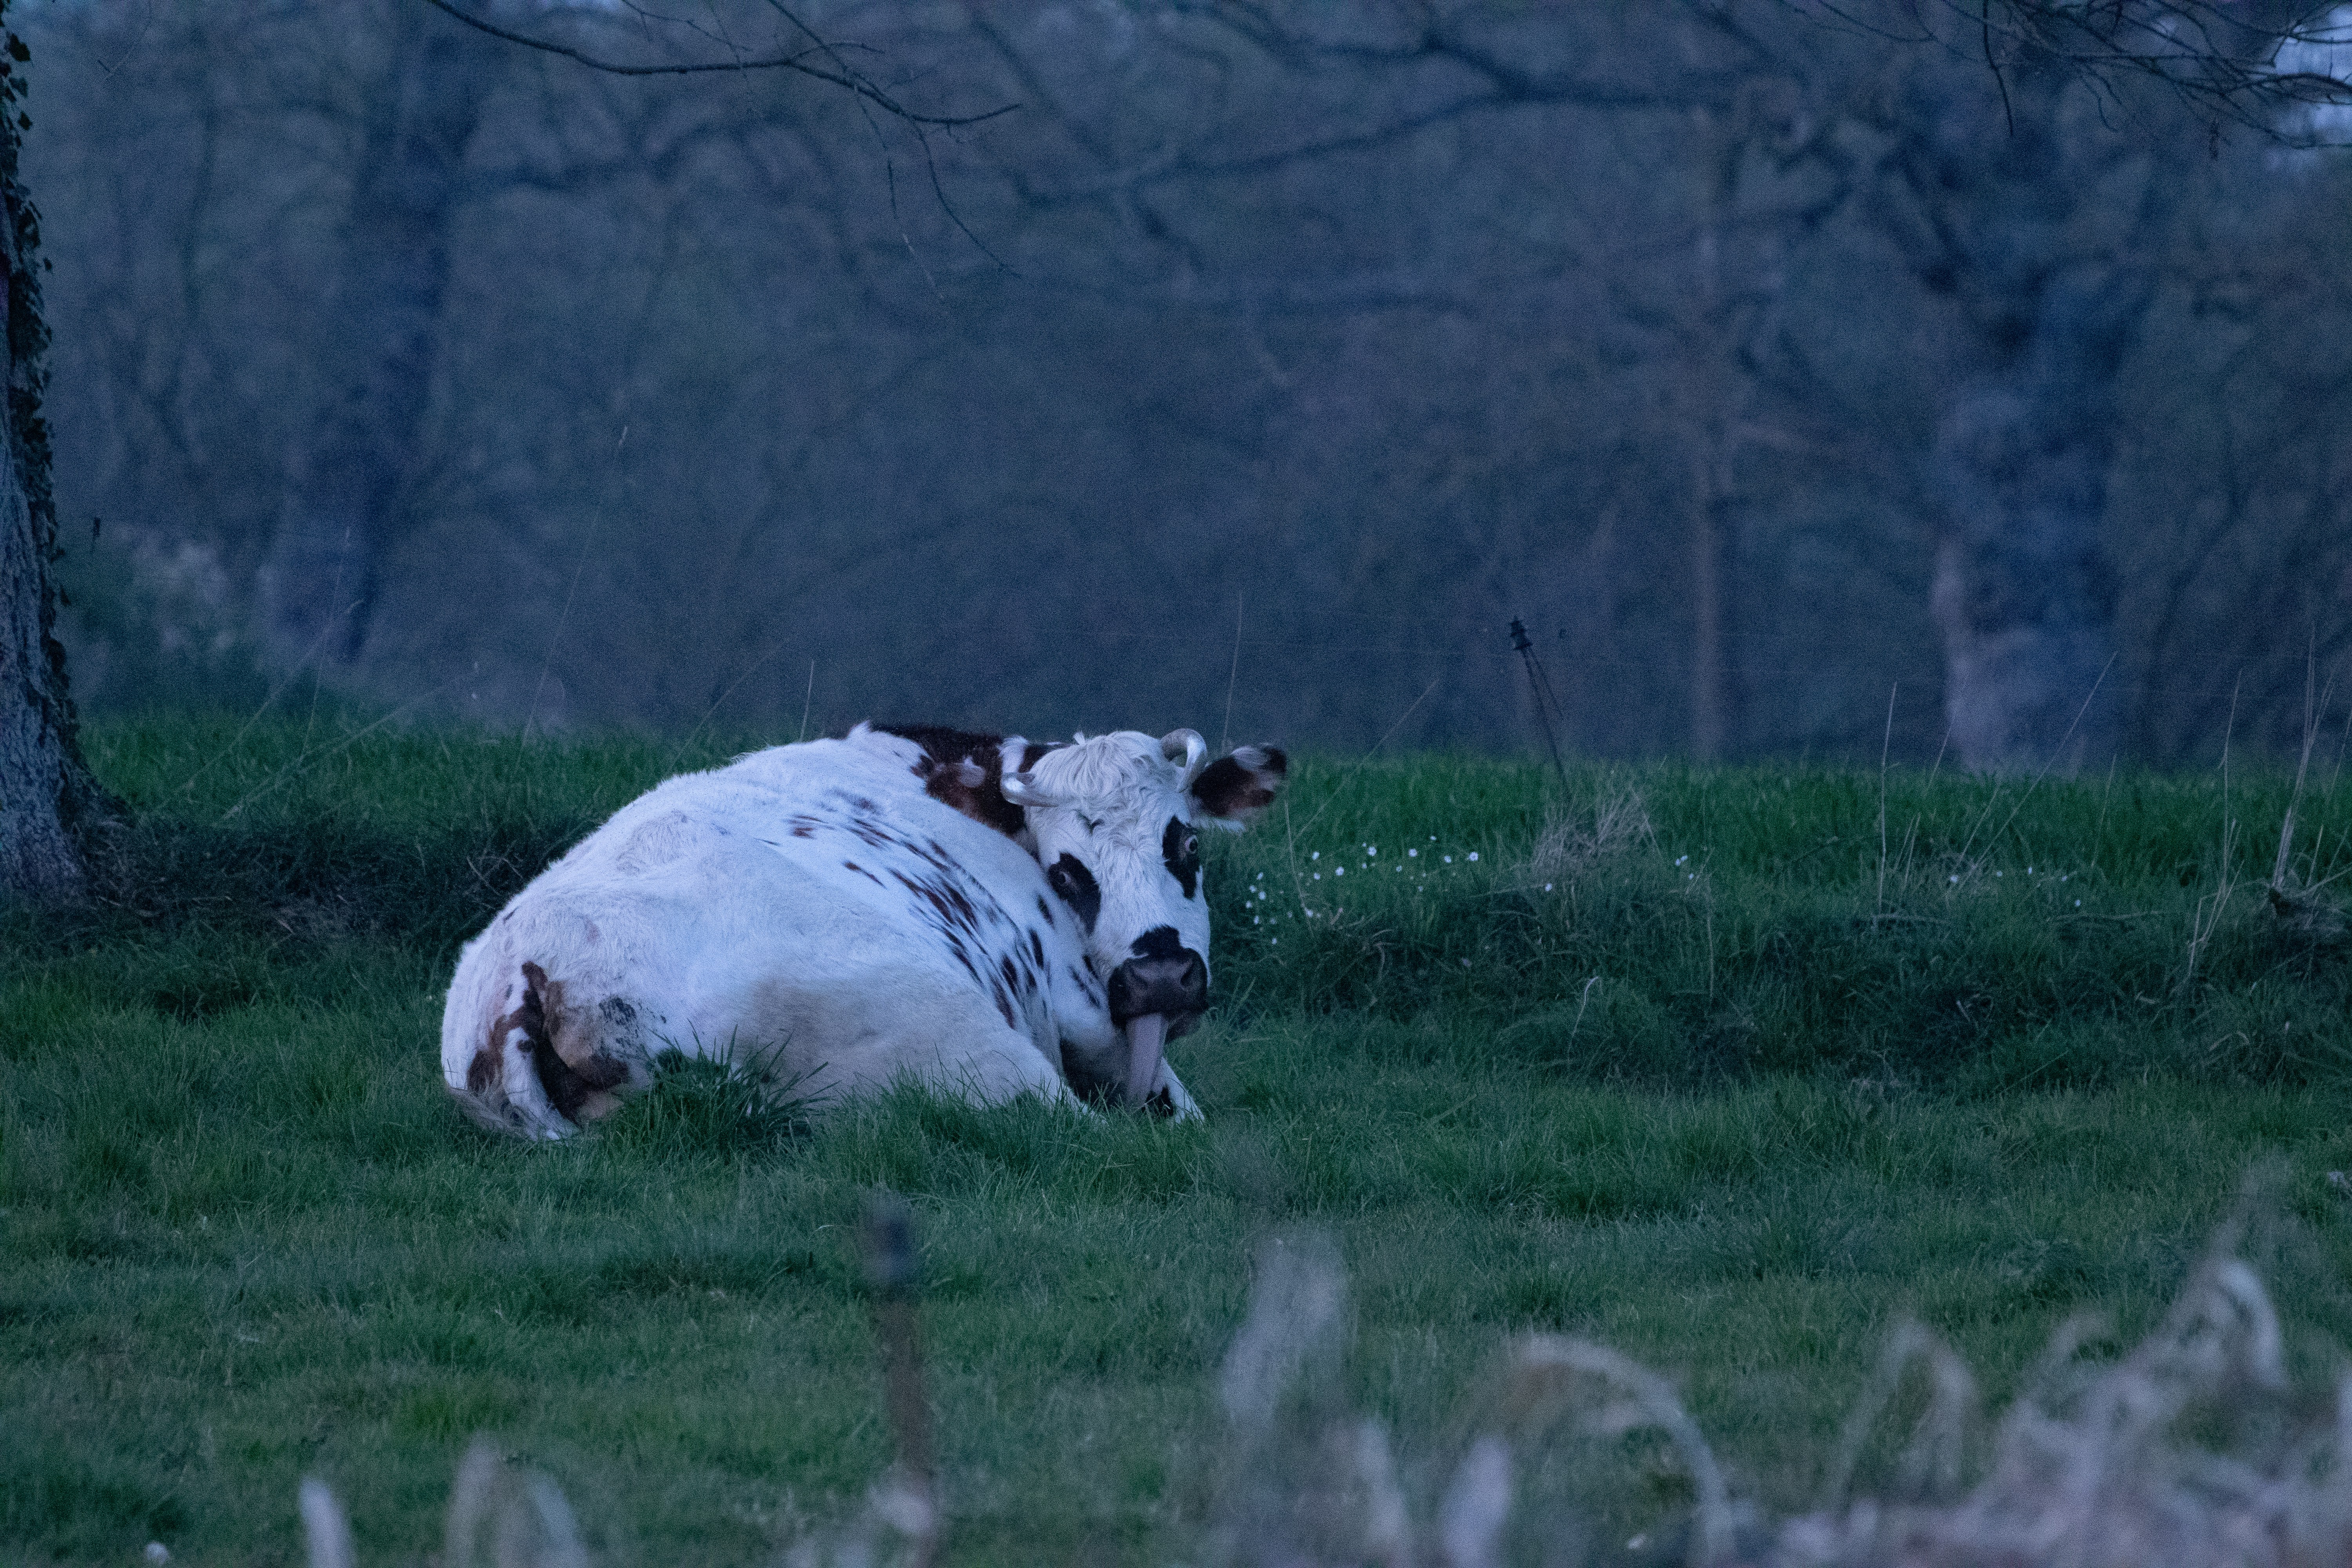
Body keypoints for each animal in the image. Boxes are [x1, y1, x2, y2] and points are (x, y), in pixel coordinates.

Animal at [440, 722, 1287, 1138]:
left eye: (1188, 842)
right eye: (1068, 871)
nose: (1160, 976)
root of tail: (530, 967)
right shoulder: (1084, 1012)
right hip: (962, 1045)